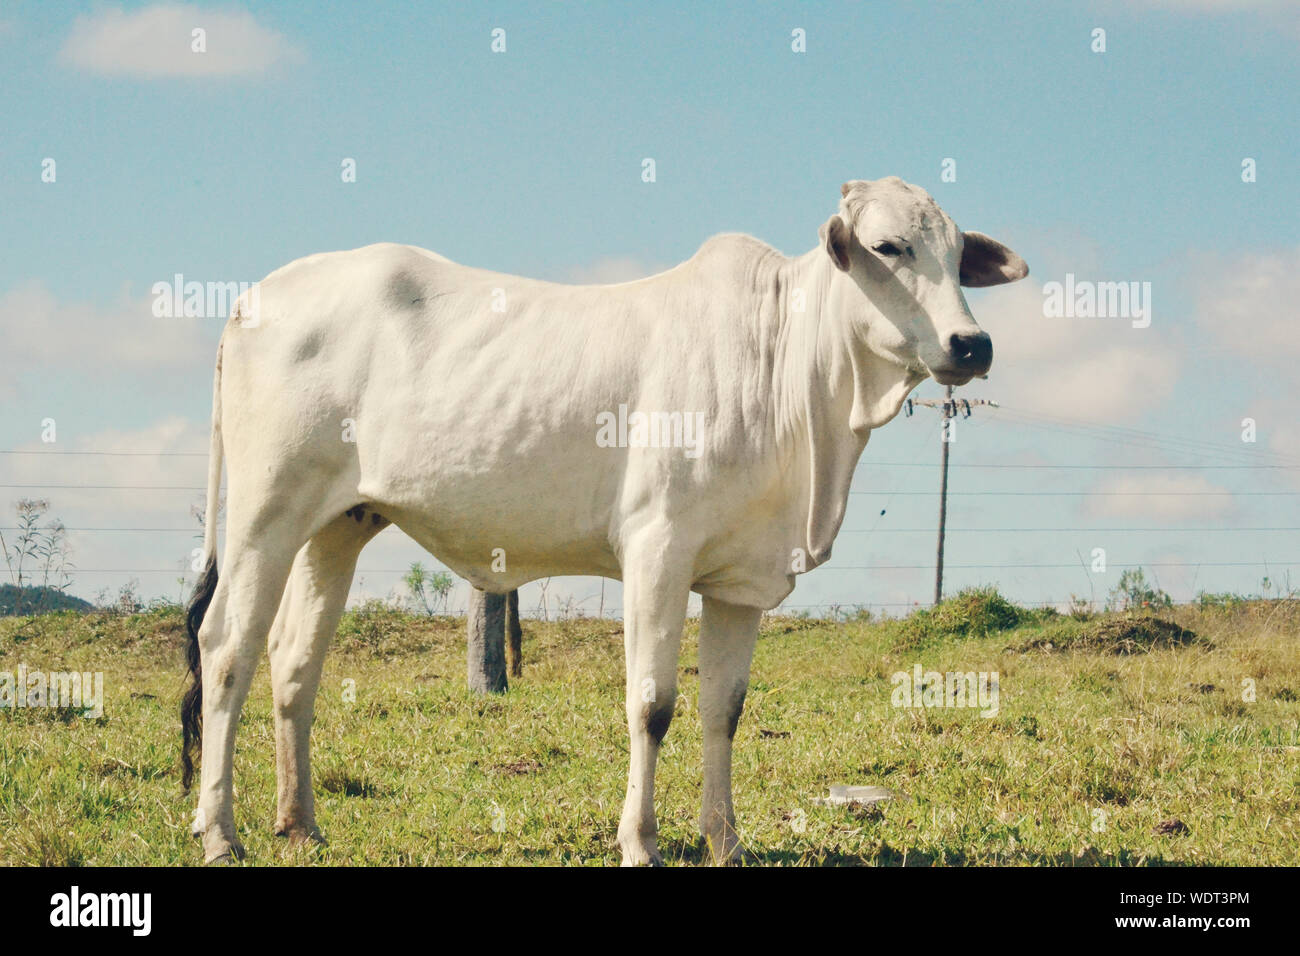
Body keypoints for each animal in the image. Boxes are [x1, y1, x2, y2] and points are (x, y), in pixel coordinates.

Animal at [180, 175, 1027, 865]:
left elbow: (723, 711)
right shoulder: (658, 551)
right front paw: (640, 843)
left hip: (339, 523)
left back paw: (300, 825)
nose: (972, 344)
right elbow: (652, 706)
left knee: (295, 661)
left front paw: (726, 842)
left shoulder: (739, 579)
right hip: (263, 514)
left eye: (959, 255)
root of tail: (255, 297)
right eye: (889, 246)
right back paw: (221, 833)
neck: (794, 378)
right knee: (226, 650)